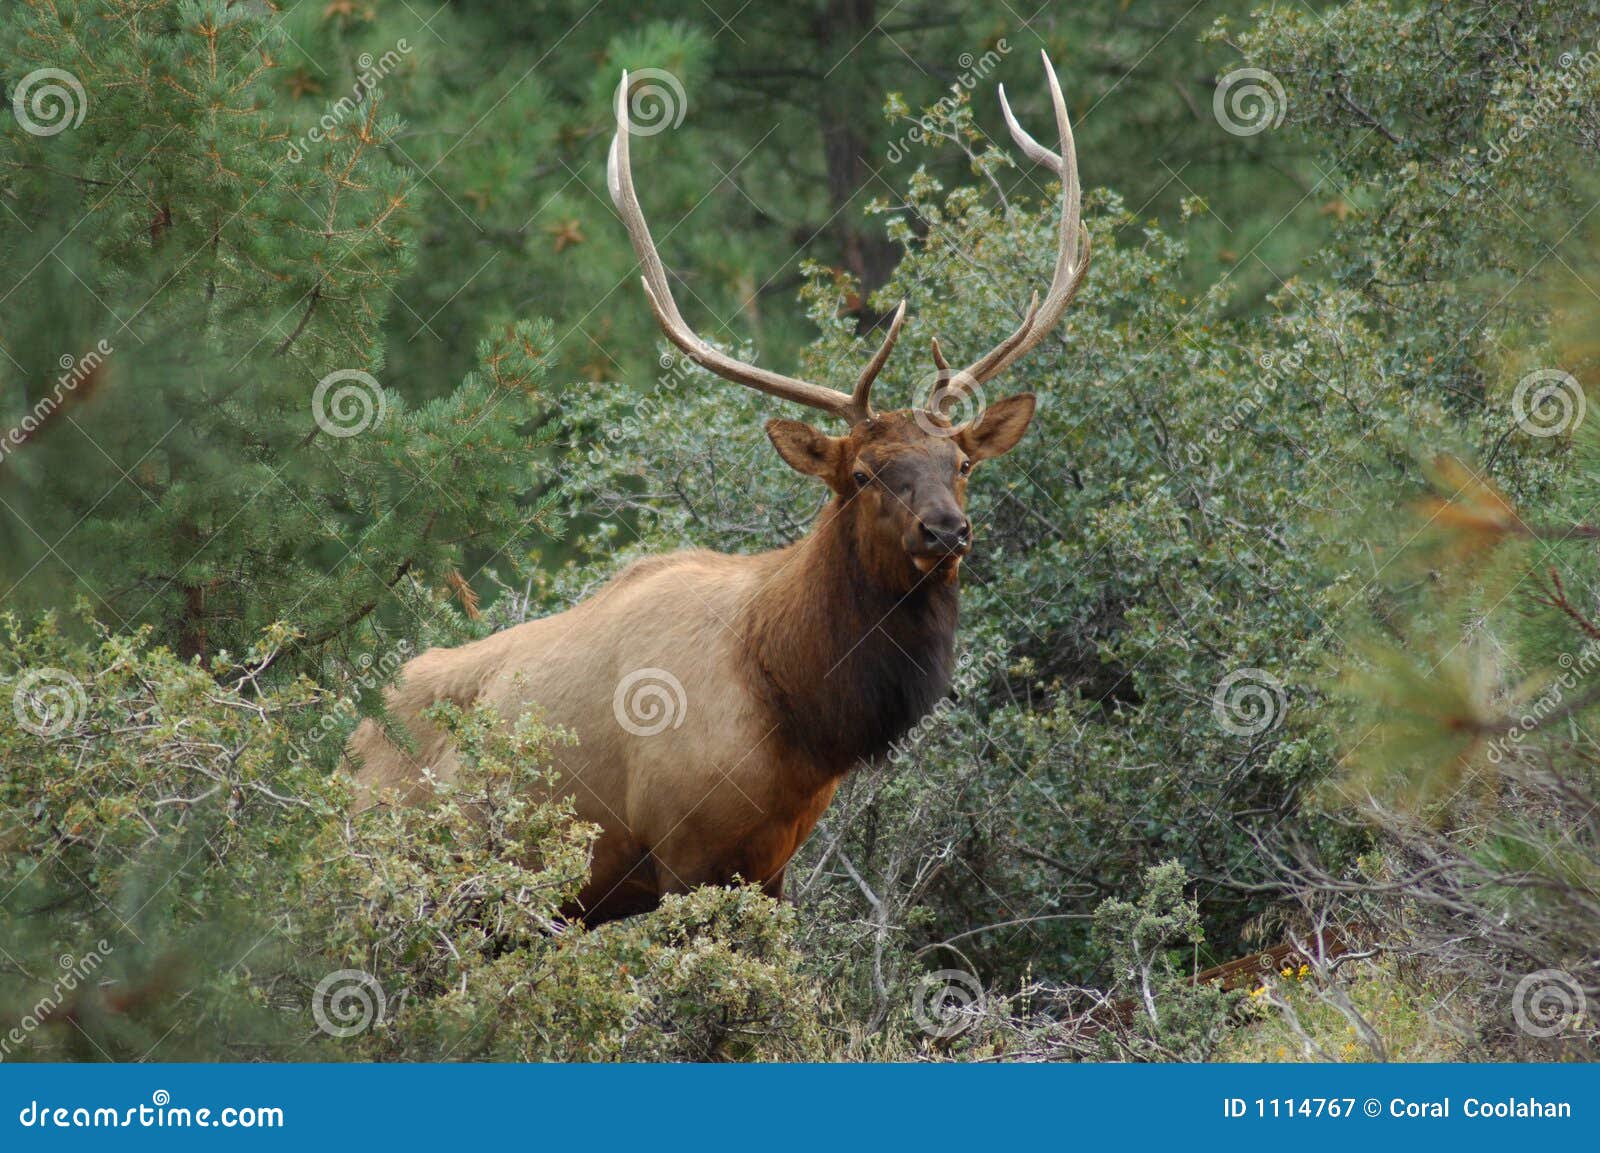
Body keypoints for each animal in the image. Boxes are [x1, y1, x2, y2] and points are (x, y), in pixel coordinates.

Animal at [348, 52, 1090, 925]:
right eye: (862, 474)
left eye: (962, 465)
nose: (945, 530)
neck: (797, 715)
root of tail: (347, 739)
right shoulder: (684, 851)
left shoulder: (773, 862)